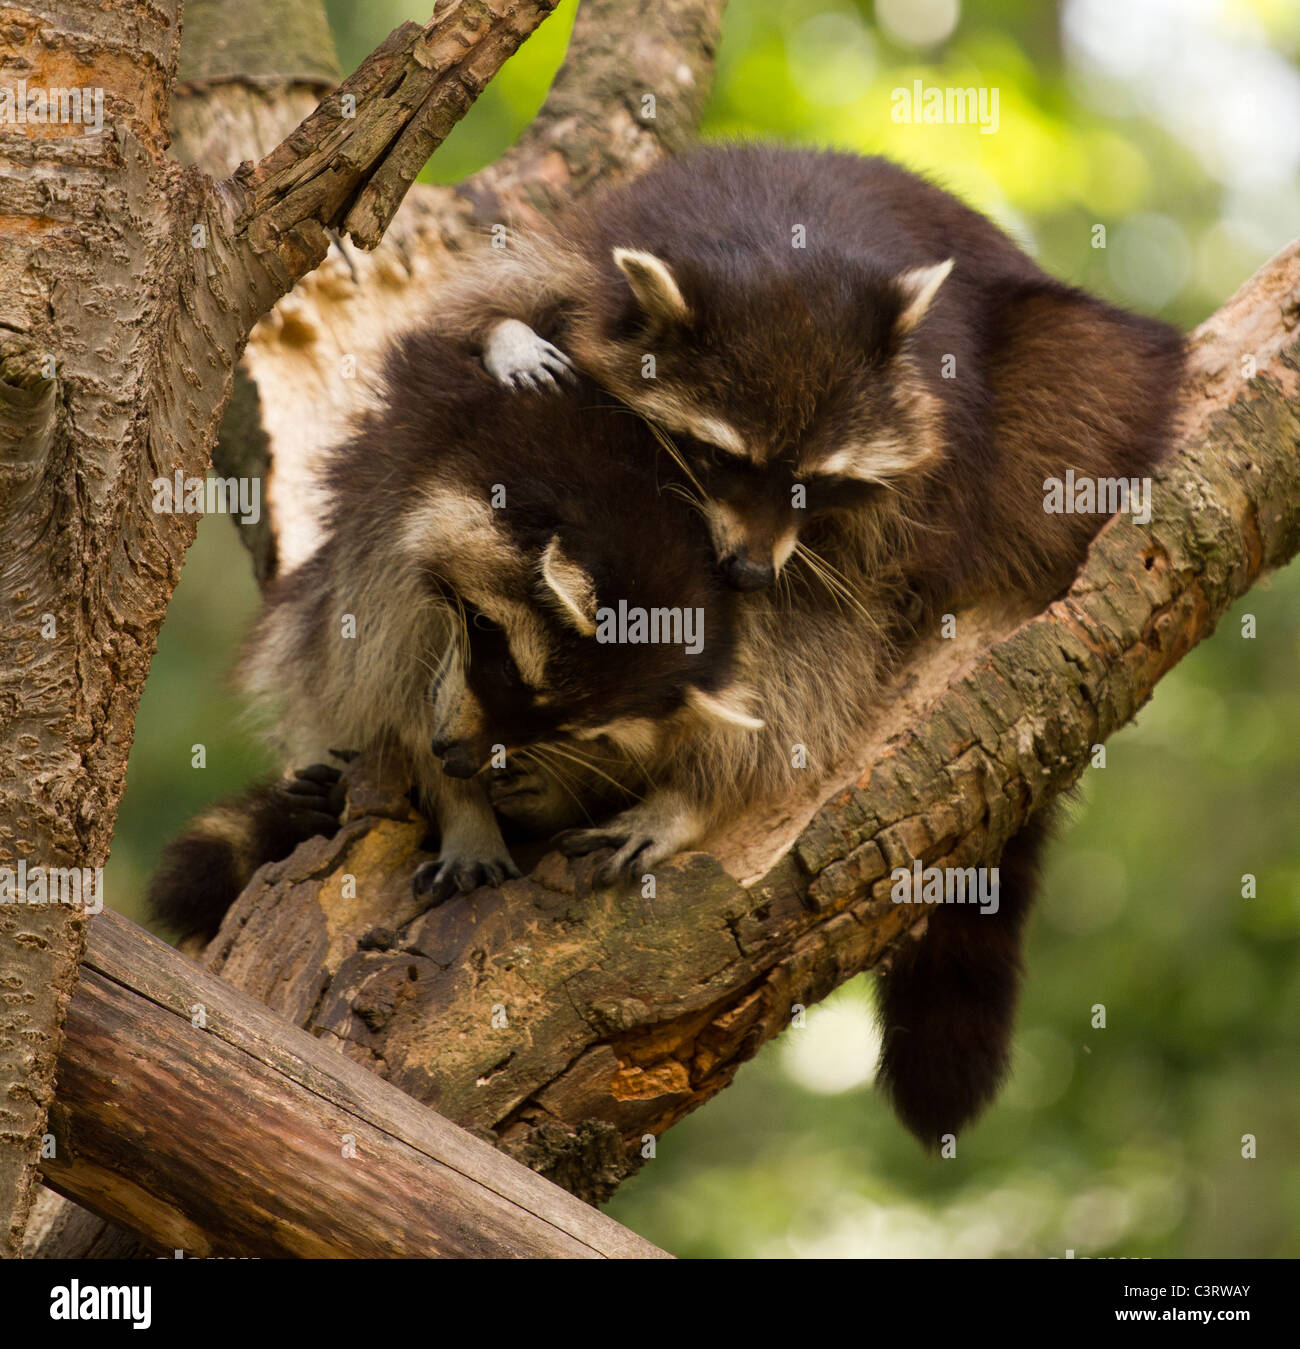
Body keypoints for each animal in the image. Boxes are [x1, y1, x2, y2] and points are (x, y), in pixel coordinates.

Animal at [147, 331, 760, 944]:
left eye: (574, 731)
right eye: (508, 668)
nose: (459, 763)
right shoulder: (389, 528)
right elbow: (394, 687)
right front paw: (463, 811)